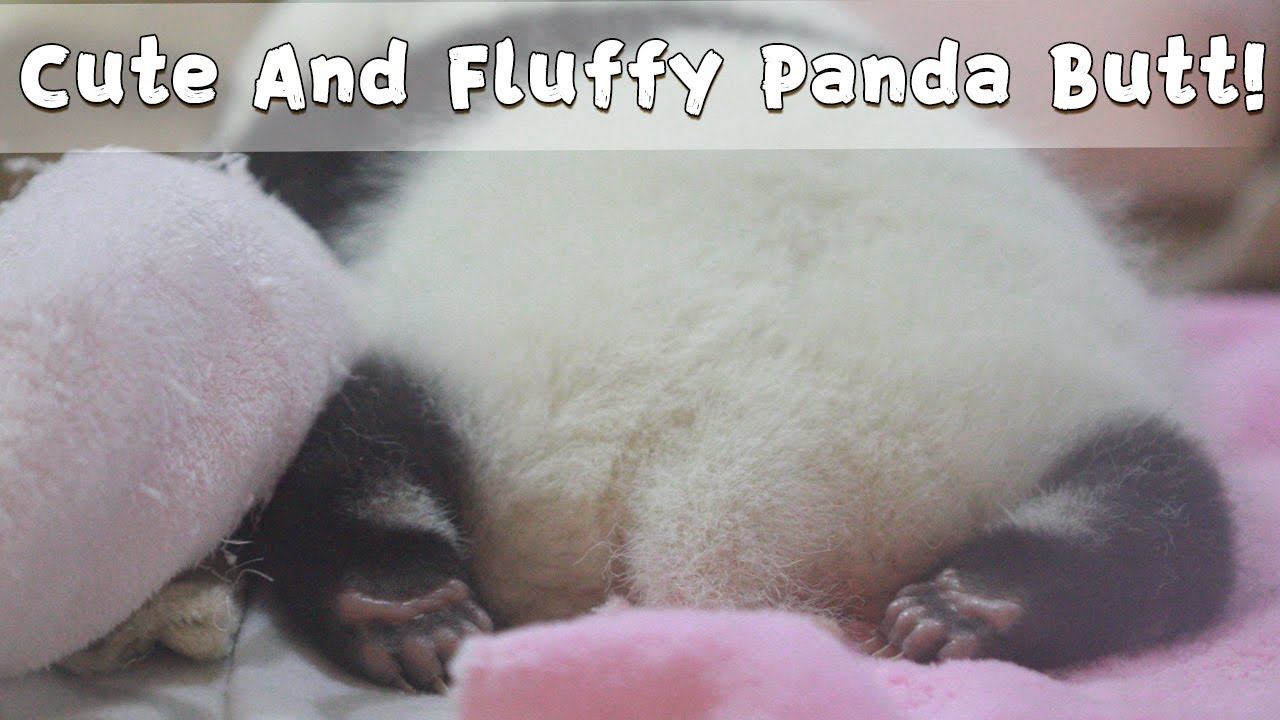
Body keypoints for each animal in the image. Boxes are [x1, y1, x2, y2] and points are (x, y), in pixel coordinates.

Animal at [228, 1, 1236, 693]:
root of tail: (731, 471)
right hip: (1036, 396)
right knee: (1162, 507)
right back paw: (984, 605)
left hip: (473, 356)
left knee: (341, 442)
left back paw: (397, 605)